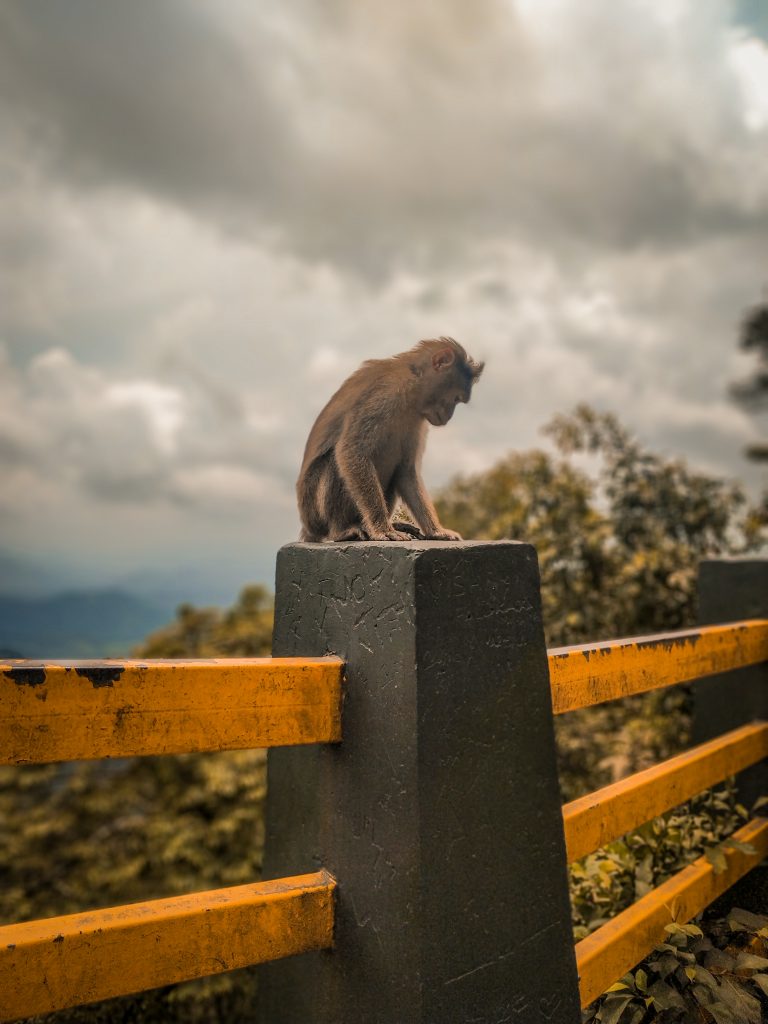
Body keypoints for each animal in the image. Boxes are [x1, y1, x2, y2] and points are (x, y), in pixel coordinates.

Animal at [297, 337, 484, 542]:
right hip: (316, 513)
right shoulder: (383, 395)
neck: (413, 385)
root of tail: (308, 528)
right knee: (334, 462)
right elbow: (352, 451)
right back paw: (342, 531)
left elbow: (405, 470)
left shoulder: (416, 422)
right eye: (456, 398)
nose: (449, 416)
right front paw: (383, 529)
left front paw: (436, 531)